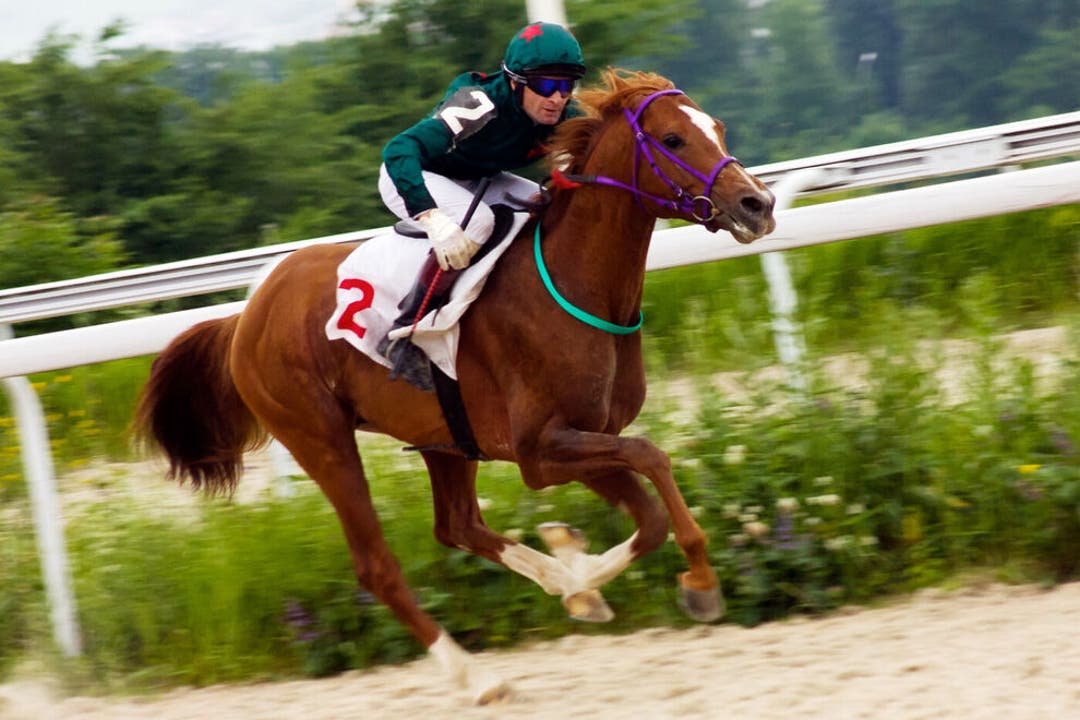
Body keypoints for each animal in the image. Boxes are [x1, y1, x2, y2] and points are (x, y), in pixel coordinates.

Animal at [134, 68, 775, 703]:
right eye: (672, 140)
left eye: (717, 127)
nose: (759, 203)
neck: (574, 283)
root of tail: (245, 316)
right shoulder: (540, 449)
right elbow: (652, 458)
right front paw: (696, 582)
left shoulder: (585, 437)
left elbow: (649, 517)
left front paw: (578, 579)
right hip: (320, 438)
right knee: (377, 565)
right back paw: (477, 677)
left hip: (444, 436)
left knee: (456, 525)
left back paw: (554, 581)